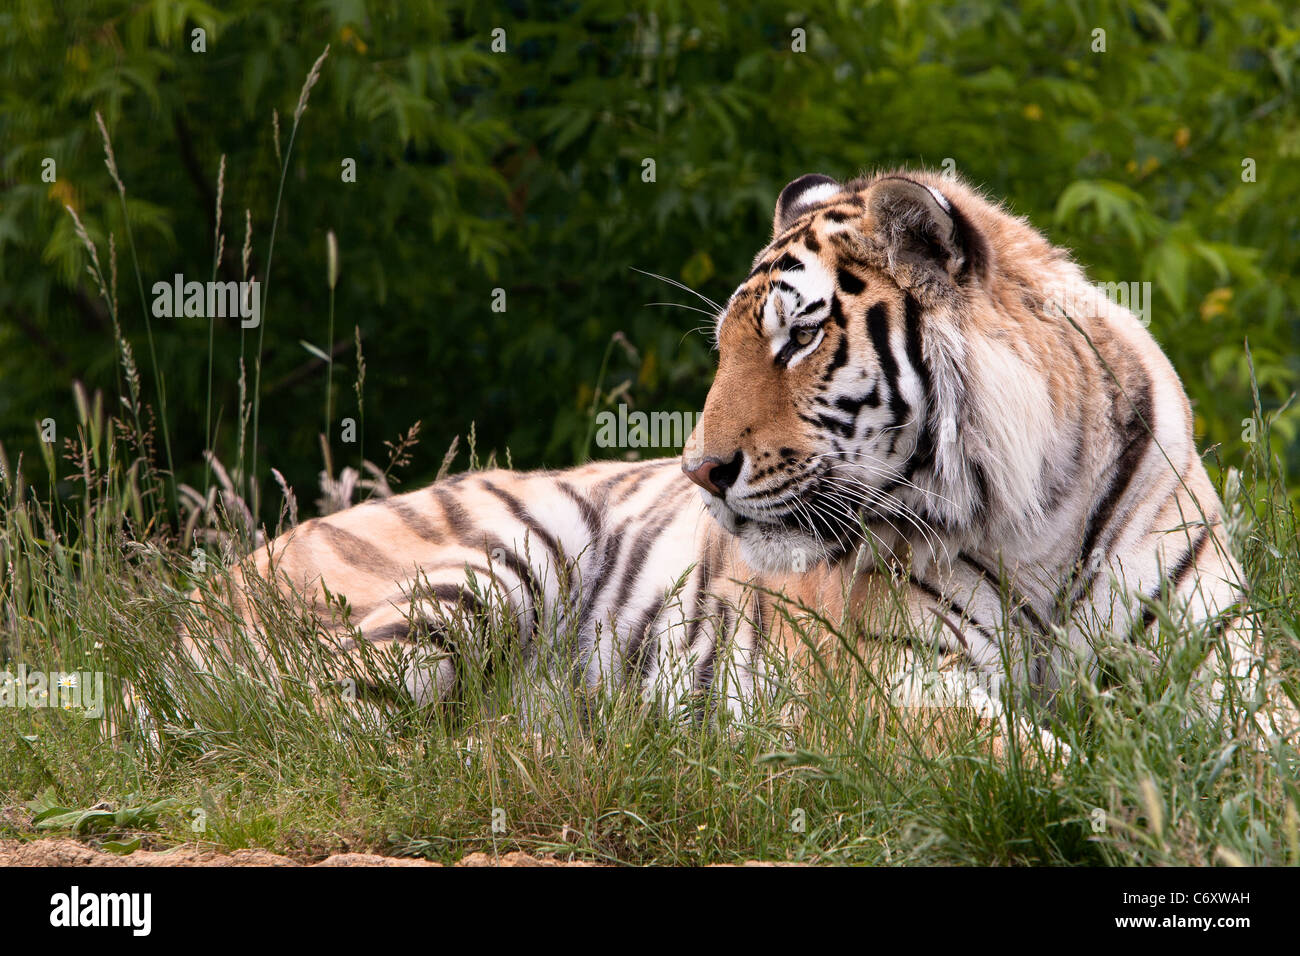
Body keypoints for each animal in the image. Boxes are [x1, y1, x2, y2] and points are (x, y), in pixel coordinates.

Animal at [182, 169, 1278, 743]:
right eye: (727, 345)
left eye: (799, 337)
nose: (698, 473)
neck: (1037, 502)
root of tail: (198, 597)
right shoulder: (900, 681)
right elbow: (1035, 756)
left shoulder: (1218, 661)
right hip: (499, 554)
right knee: (300, 735)